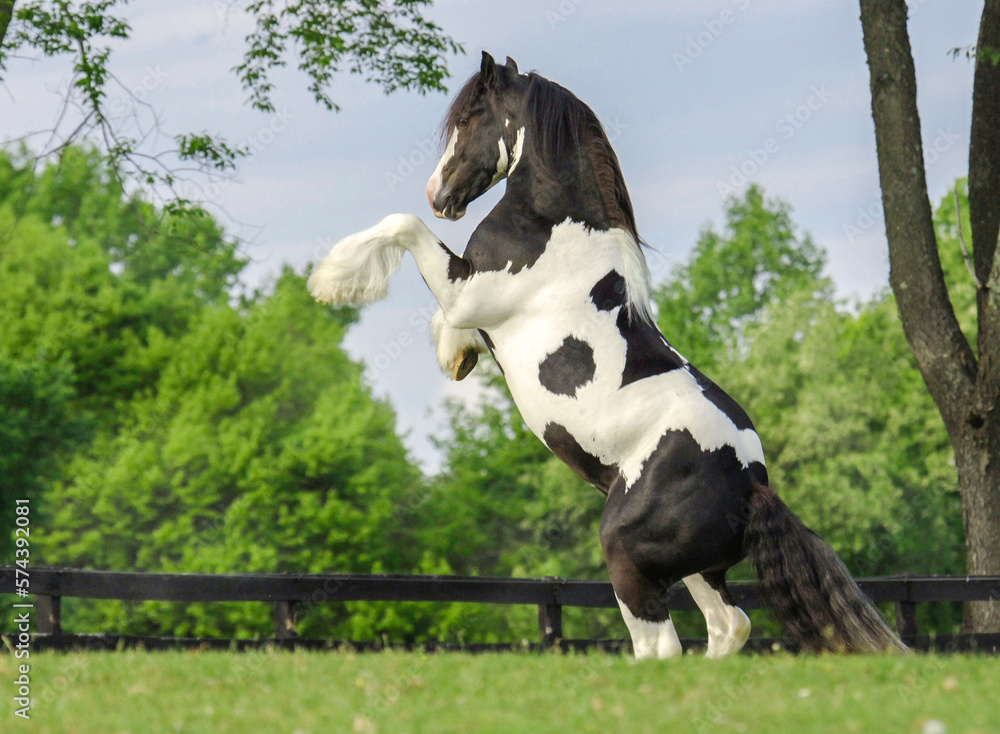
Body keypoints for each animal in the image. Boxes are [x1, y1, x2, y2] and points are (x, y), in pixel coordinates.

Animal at [308, 52, 905, 658]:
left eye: (470, 118)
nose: (438, 195)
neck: (553, 223)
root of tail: (752, 483)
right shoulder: (469, 300)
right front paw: (456, 355)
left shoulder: (467, 290)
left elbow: (402, 227)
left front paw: (331, 281)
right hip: (693, 568)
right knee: (729, 625)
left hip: (627, 554)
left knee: (662, 645)